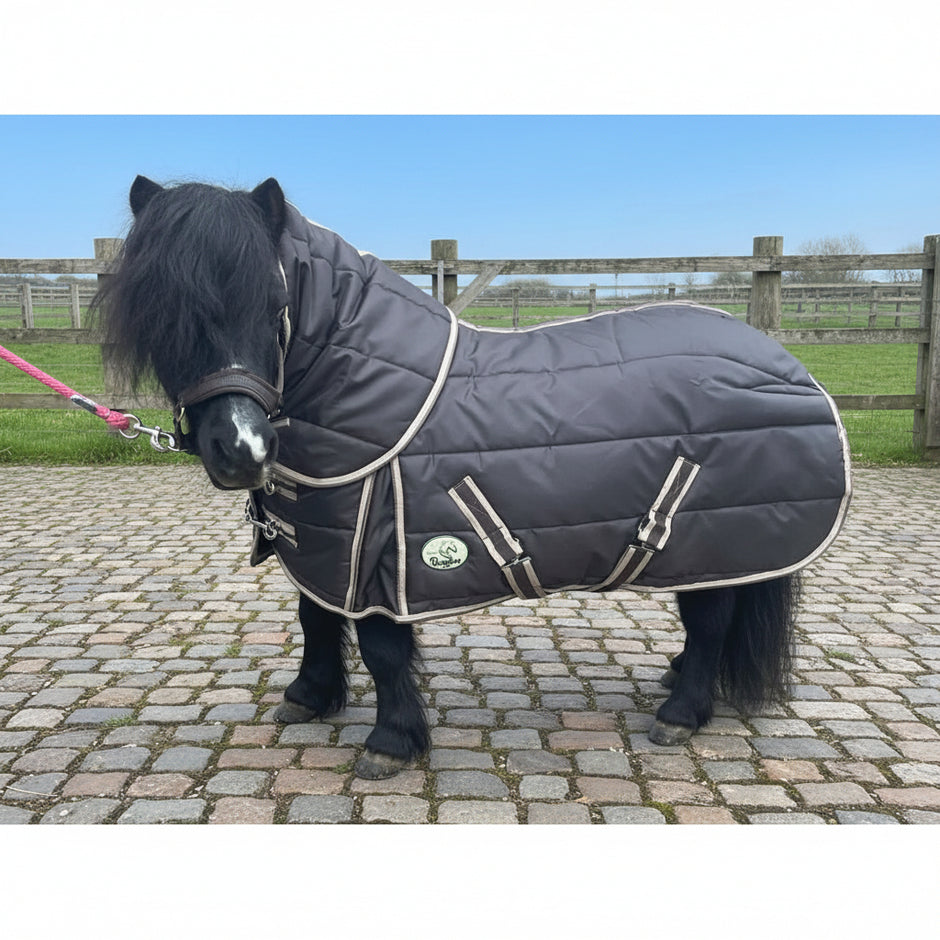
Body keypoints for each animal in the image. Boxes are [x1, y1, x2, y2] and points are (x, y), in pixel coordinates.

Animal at [93, 176, 850, 779]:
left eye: (274, 302)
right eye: (161, 312)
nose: (241, 450)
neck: (374, 390)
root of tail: (784, 362)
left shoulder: (379, 555)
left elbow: (382, 649)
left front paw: (391, 743)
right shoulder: (321, 539)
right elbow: (315, 617)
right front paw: (309, 697)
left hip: (710, 539)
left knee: (712, 619)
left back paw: (682, 711)